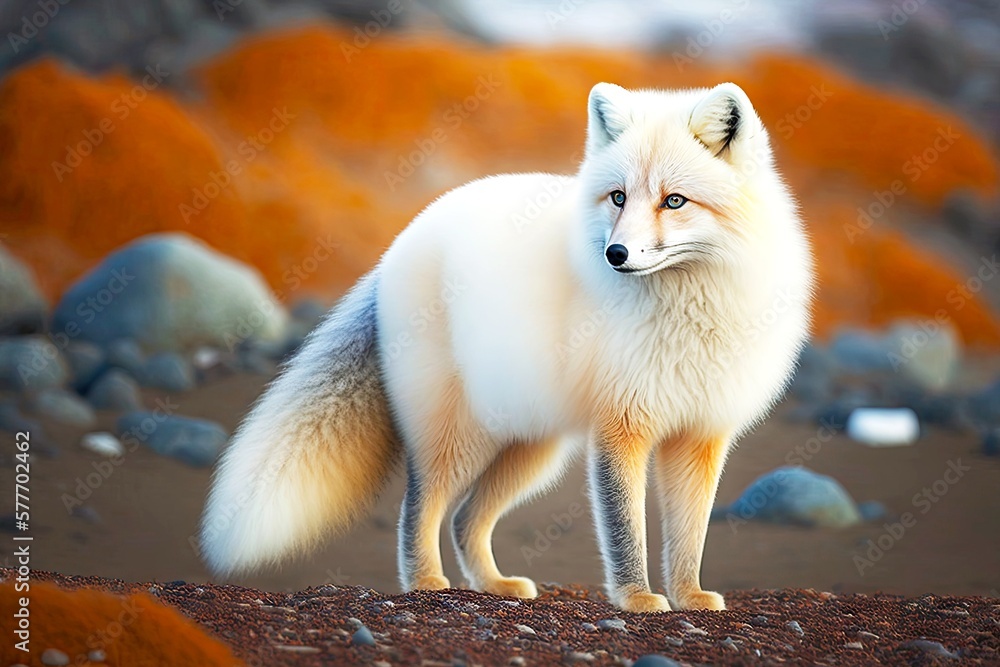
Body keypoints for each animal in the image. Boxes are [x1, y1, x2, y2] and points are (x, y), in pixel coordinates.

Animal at [200, 81, 814, 613]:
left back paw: (493, 585)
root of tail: (402, 241)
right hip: (456, 437)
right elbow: (625, 531)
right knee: (419, 508)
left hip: (532, 449)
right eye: (618, 197)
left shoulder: (702, 432)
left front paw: (688, 596)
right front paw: (638, 599)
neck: (692, 312)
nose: (615, 254)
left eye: (675, 201)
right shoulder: (622, 427)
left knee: (465, 519)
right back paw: (426, 584)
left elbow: (689, 536)